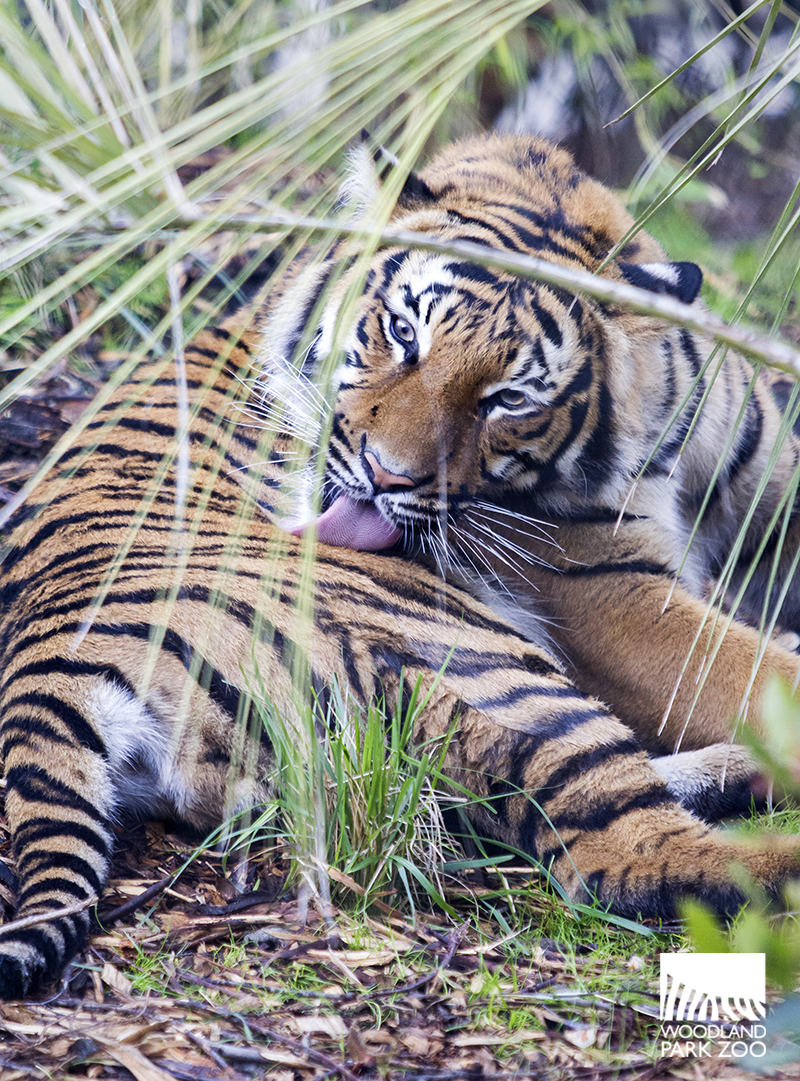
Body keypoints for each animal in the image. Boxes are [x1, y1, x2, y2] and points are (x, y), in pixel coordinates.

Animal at [1, 131, 800, 1001]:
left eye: (508, 397)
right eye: (401, 332)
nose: (384, 475)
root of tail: (46, 672)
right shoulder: (613, 597)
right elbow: (762, 678)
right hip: (478, 656)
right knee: (626, 855)